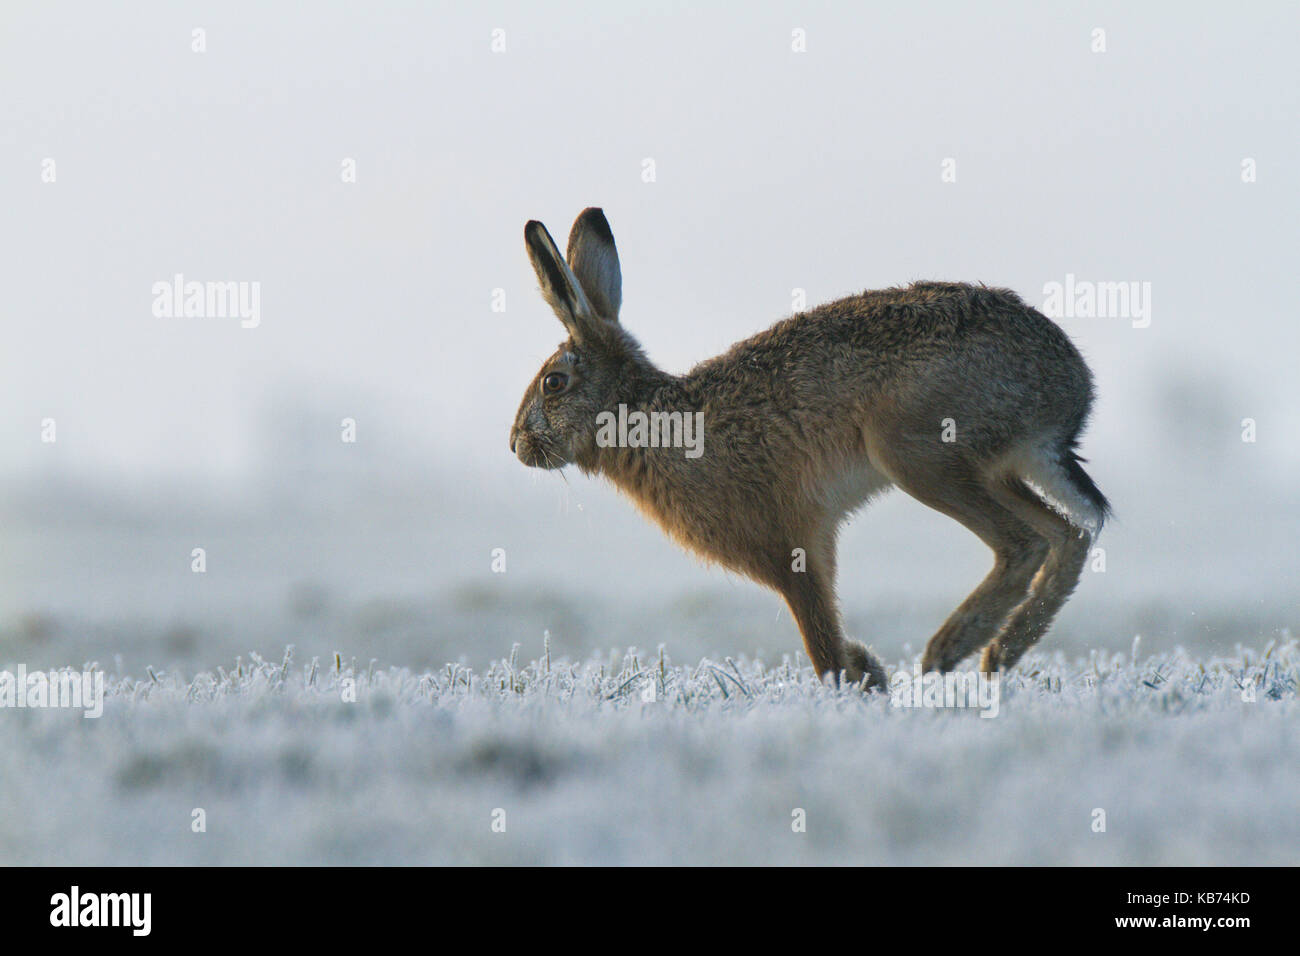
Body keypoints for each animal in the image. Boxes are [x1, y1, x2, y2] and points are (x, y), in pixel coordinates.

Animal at [510, 208, 1108, 690]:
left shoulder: (789, 545)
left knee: (1023, 542)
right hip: (995, 468)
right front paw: (868, 671)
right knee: (1070, 532)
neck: (643, 415)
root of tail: (1068, 389)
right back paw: (1001, 653)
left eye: (554, 383)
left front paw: (858, 679)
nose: (516, 445)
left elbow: (820, 640)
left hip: (919, 455)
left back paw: (949, 650)